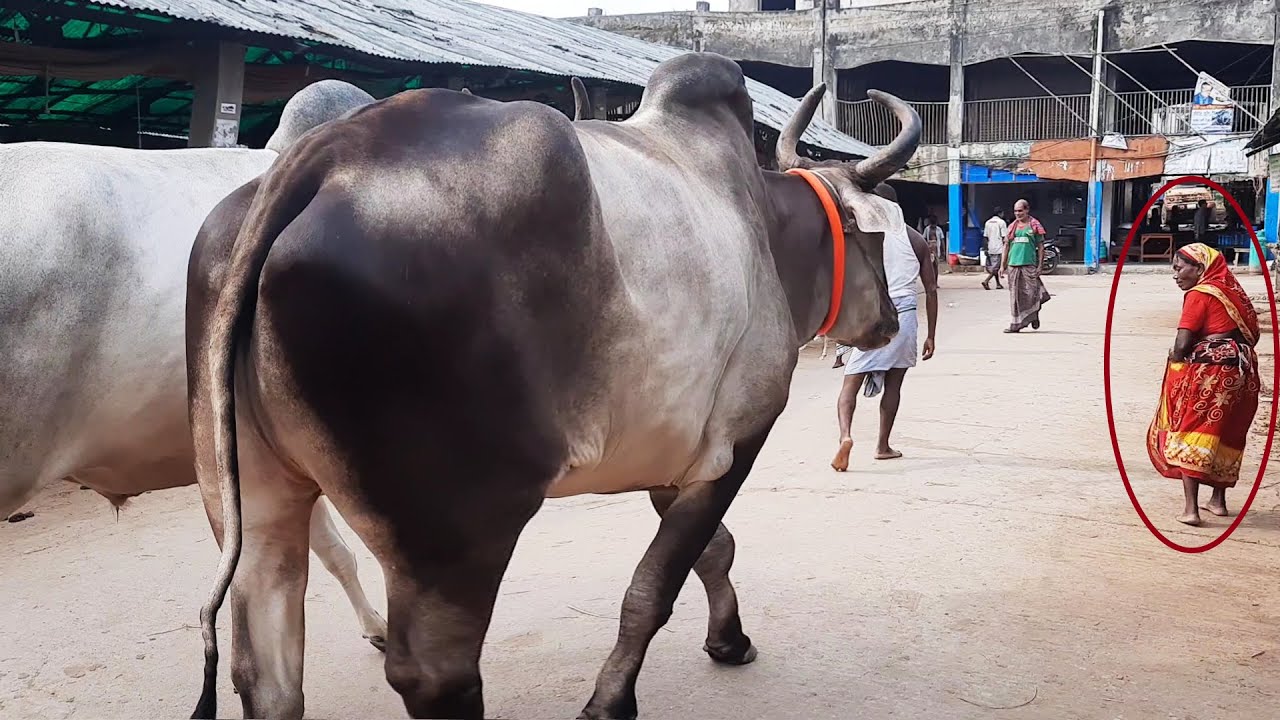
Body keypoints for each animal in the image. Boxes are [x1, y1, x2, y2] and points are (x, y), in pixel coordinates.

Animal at [185, 51, 920, 719]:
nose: (889, 320)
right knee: (435, 676)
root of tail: (328, 154)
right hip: (457, 533)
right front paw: (612, 701)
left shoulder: (674, 452)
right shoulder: (736, 440)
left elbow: (713, 552)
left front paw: (729, 640)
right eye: (873, 242)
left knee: (266, 672)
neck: (764, 226)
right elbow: (654, 588)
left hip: (254, 501)